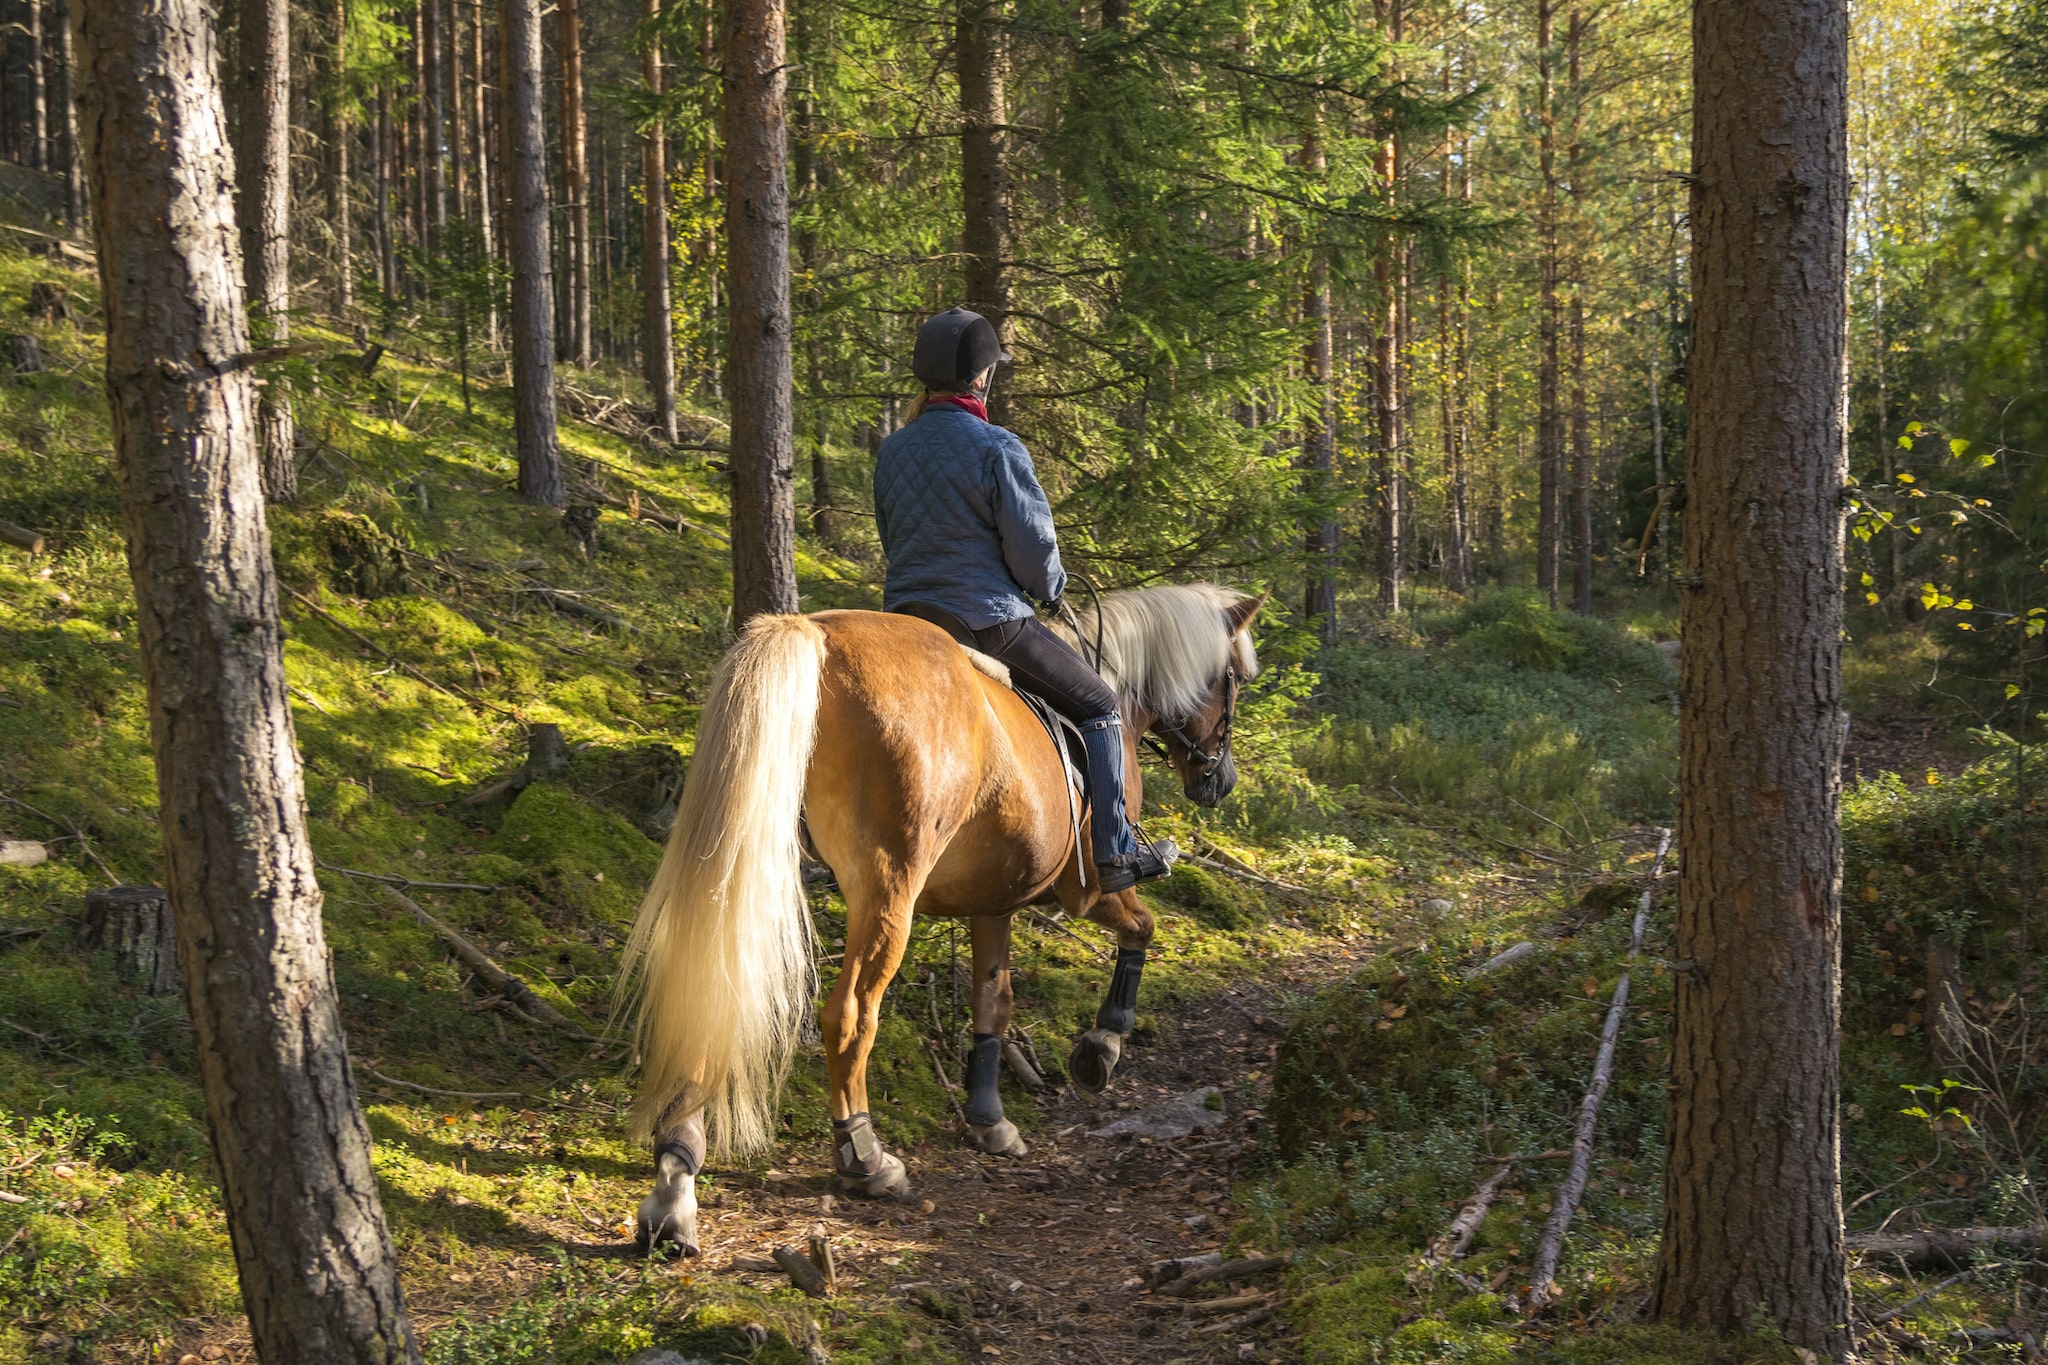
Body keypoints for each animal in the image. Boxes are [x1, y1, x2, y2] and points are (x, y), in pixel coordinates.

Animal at [618, 583, 1263, 1255]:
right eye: (1236, 680)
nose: (1220, 781)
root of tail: (817, 634)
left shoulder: (993, 903)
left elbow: (992, 1004)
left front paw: (989, 1119)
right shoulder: (1088, 891)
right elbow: (1142, 929)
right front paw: (1101, 1046)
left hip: (749, 857)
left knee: (715, 990)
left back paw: (675, 1182)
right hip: (888, 892)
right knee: (850, 1016)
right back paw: (866, 1157)